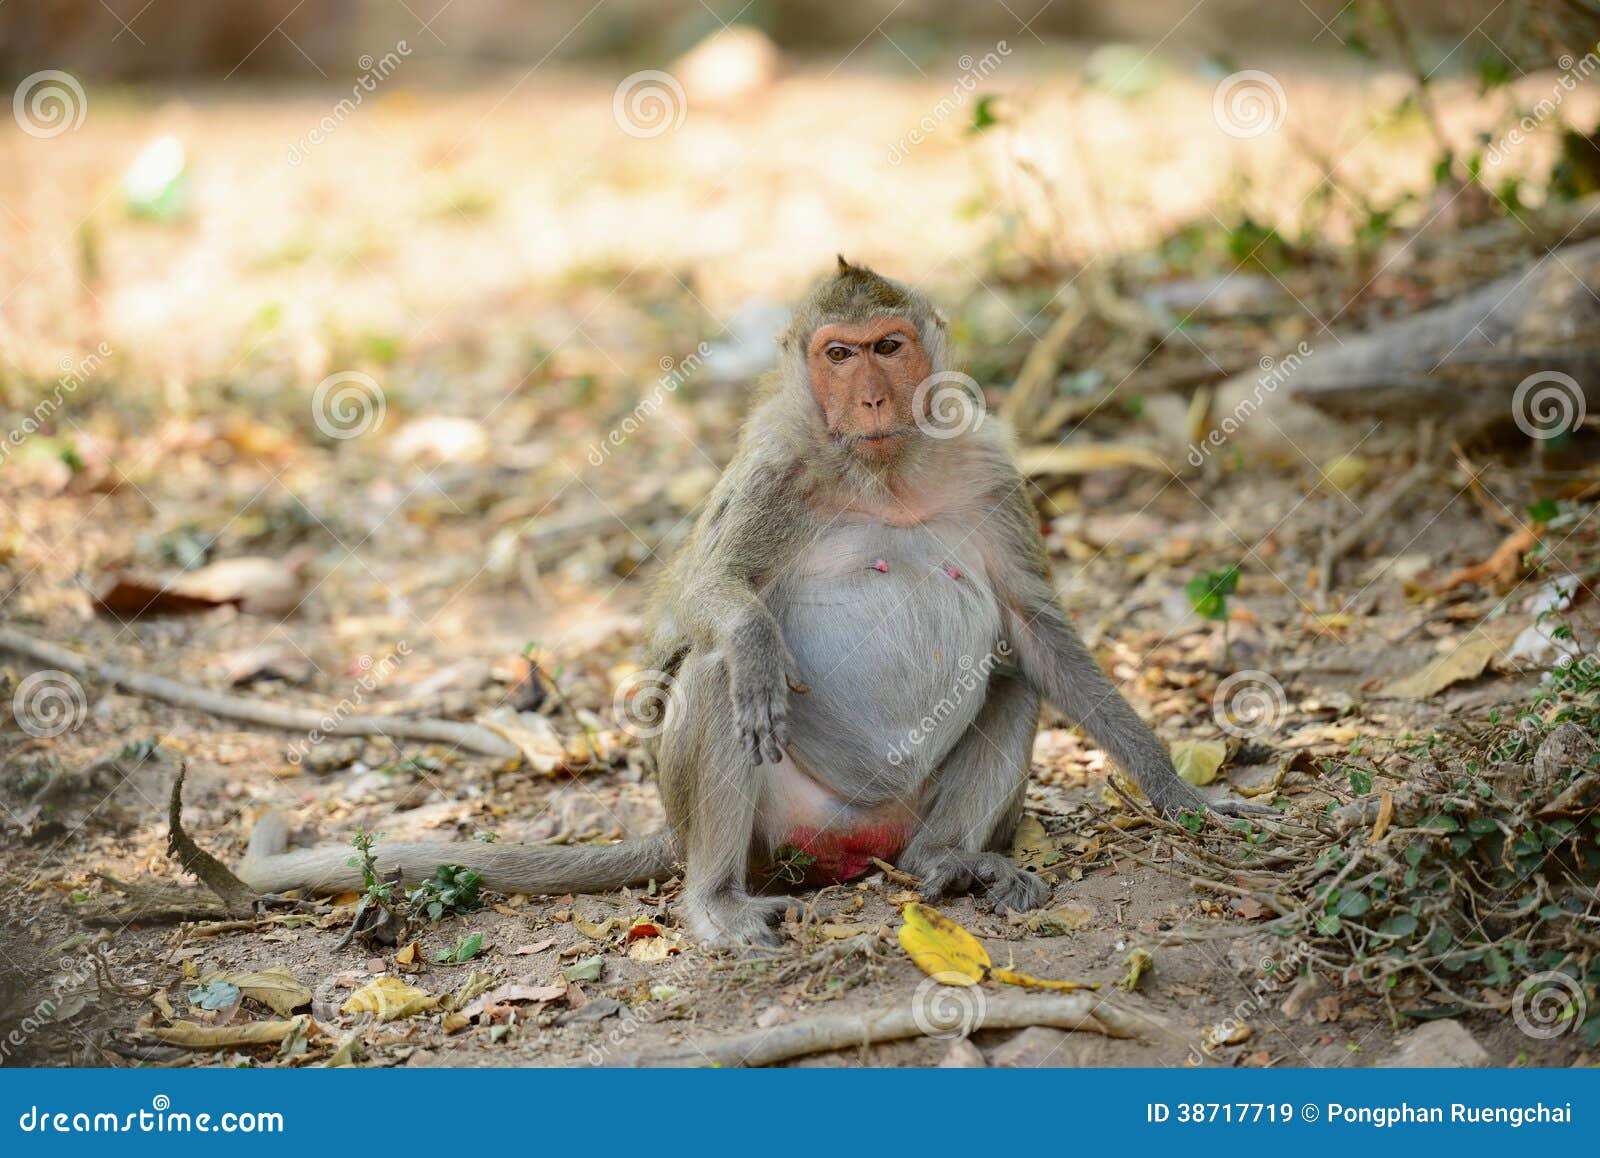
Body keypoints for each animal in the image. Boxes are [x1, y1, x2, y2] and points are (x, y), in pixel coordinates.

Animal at [241, 258, 1262, 947]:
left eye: (889, 348)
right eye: (838, 354)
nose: (871, 396)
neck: (884, 472)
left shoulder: (989, 464)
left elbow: (1037, 632)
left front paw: (1177, 791)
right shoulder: (777, 467)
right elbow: (705, 605)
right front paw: (753, 639)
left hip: (899, 820)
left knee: (1012, 687)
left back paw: (946, 862)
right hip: (770, 831)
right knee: (713, 679)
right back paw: (715, 899)